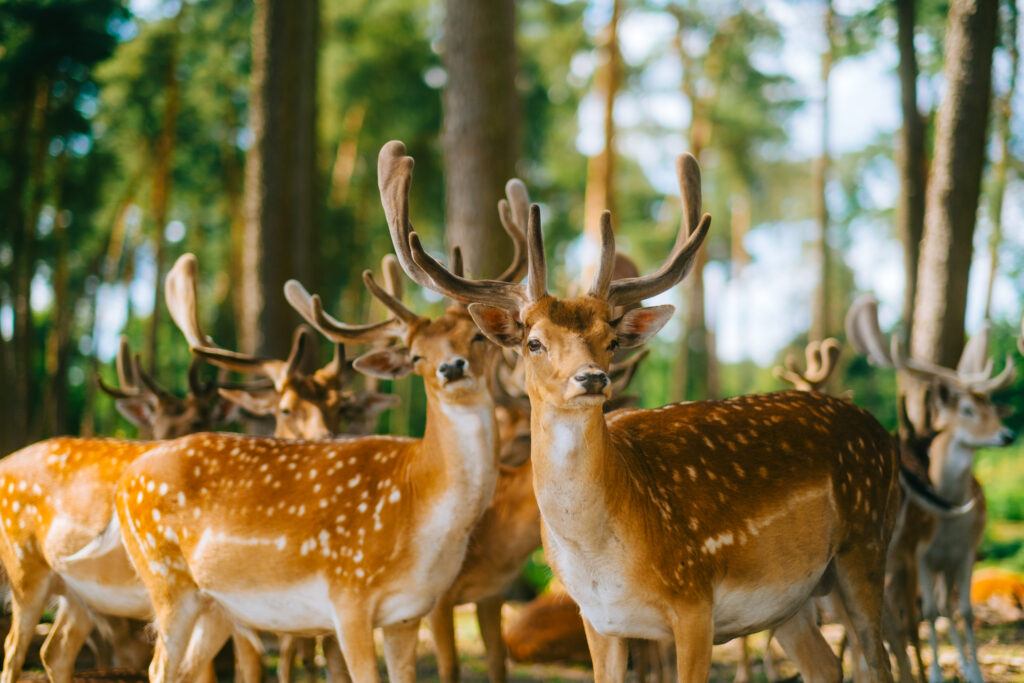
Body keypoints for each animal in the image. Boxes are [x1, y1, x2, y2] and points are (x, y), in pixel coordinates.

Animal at [379, 138, 901, 683]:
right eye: (533, 342)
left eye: (610, 340)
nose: (592, 378)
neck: (603, 557)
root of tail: (882, 434)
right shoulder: (599, 620)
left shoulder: (695, 602)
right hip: (792, 601)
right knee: (828, 665)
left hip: (866, 546)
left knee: (879, 660)